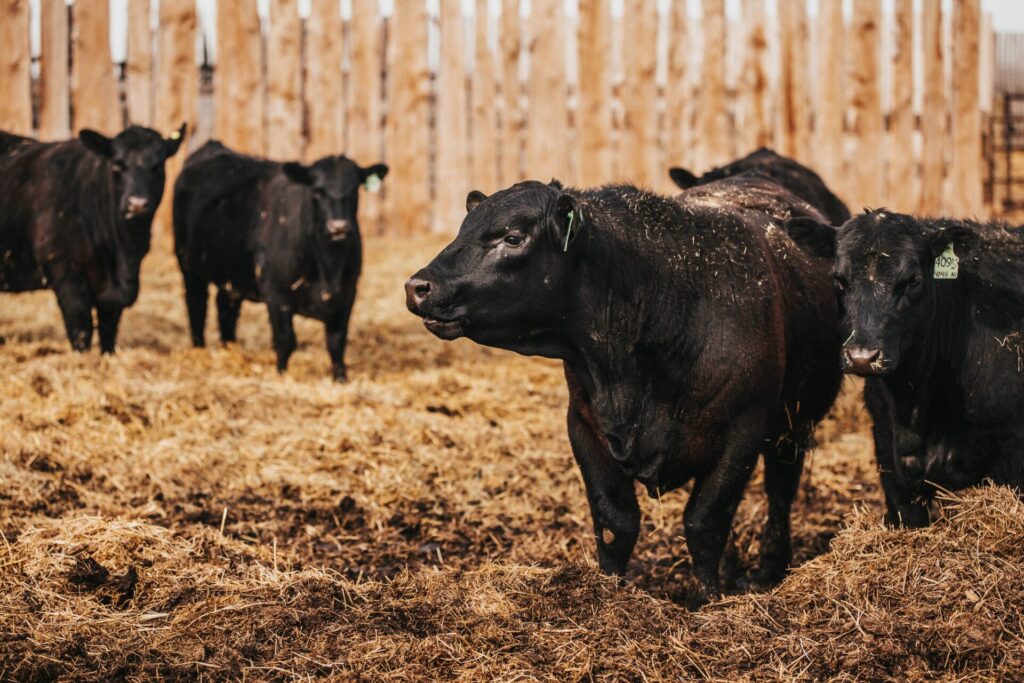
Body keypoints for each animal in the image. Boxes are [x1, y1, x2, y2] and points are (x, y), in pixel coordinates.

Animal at [0, 124, 186, 352]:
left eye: (158, 166)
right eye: (117, 164)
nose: (137, 204)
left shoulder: (112, 296)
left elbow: (109, 329)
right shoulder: (64, 271)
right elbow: (81, 327)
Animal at [173, 140, 387, 382]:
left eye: (354, 190)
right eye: (317, 191)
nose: (339, 227)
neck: (328, 266)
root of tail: (212, 147)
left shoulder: (347, 294)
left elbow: (336, 341)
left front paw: (340, 378)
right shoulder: (276, 294)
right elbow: (285, 340)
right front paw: (281, 373)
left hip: (232, 274)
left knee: (225, 308)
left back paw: (229, 347)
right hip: (189, 265)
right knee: (196, 306)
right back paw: (198, 349)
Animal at [405, 175, 842, 606]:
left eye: (512, 238)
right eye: (463, 228)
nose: (418, 286)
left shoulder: (743, 432)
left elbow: (705, 522)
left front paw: (707, 599)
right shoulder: (583, 425)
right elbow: (616, 523)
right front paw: (607, 591)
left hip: (793, 426)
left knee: (780, 490)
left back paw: (769, 569)